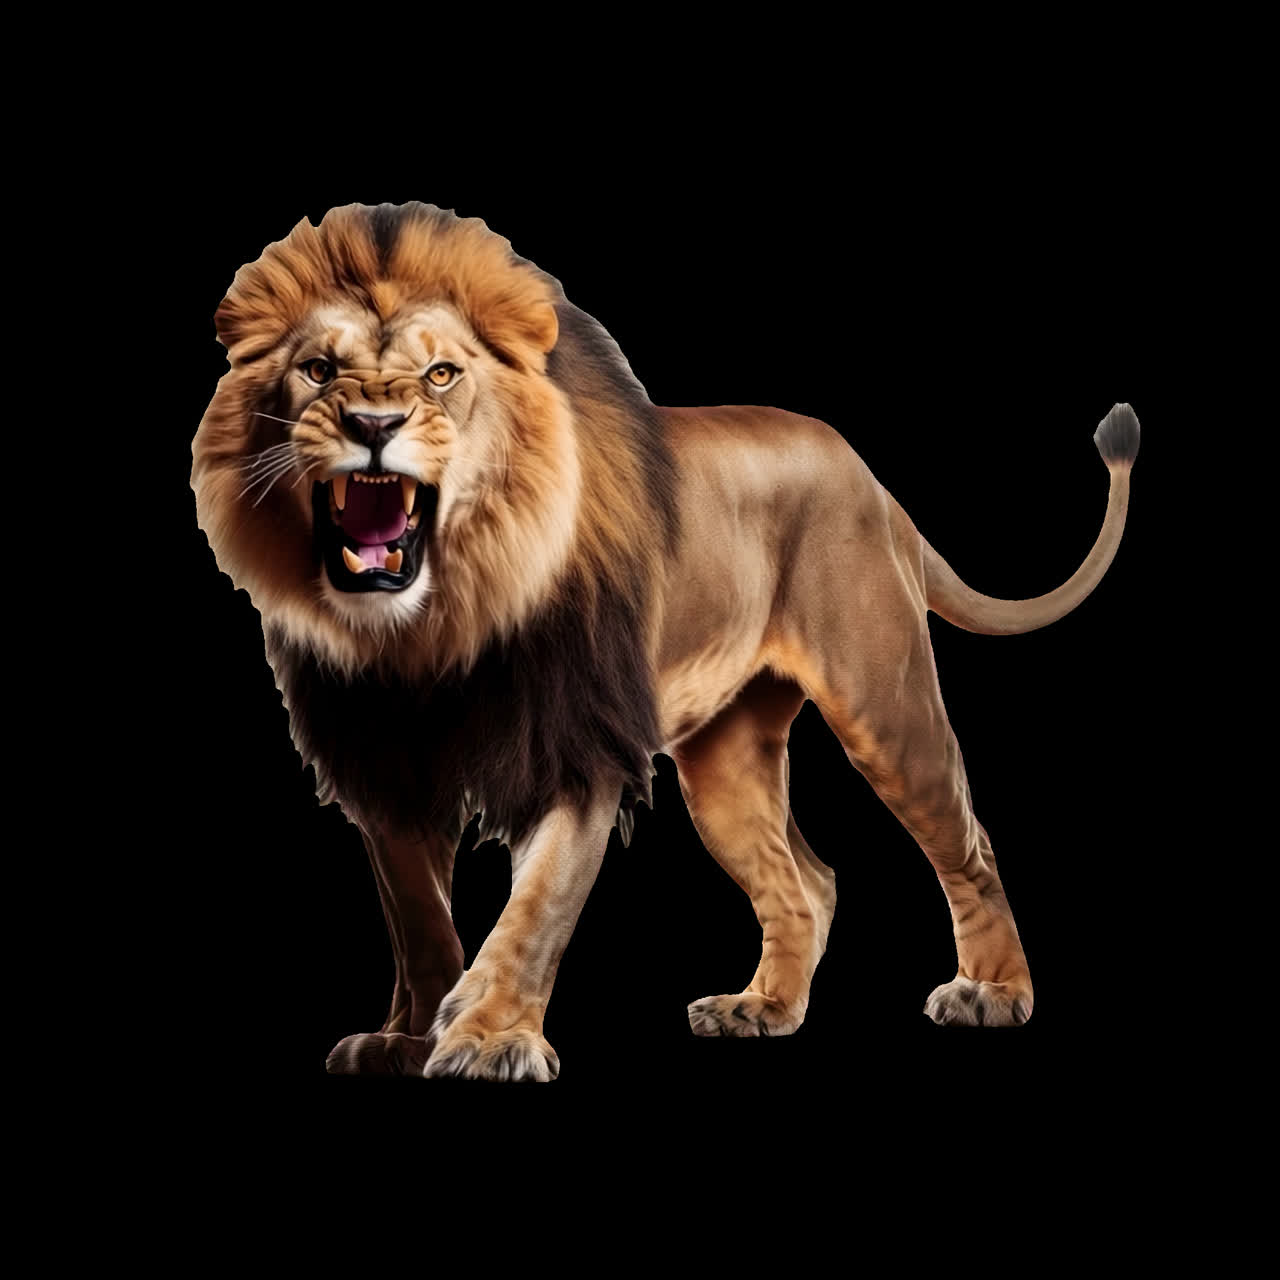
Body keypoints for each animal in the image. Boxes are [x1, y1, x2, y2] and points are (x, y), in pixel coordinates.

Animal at [192, 201, 1138, 1081]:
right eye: (317, 370)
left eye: (440, 374)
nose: (374, 424)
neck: (438, 622)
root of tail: (873, 483)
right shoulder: (383, 761)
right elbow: (420, 922)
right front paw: (408, 1036)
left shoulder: (579, 746)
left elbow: (536, 908)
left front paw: (492, 1038)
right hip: (726, 758)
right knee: (807, 881)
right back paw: (760, 1007)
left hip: (885, 703)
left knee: (968, 844)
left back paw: (993, 991)